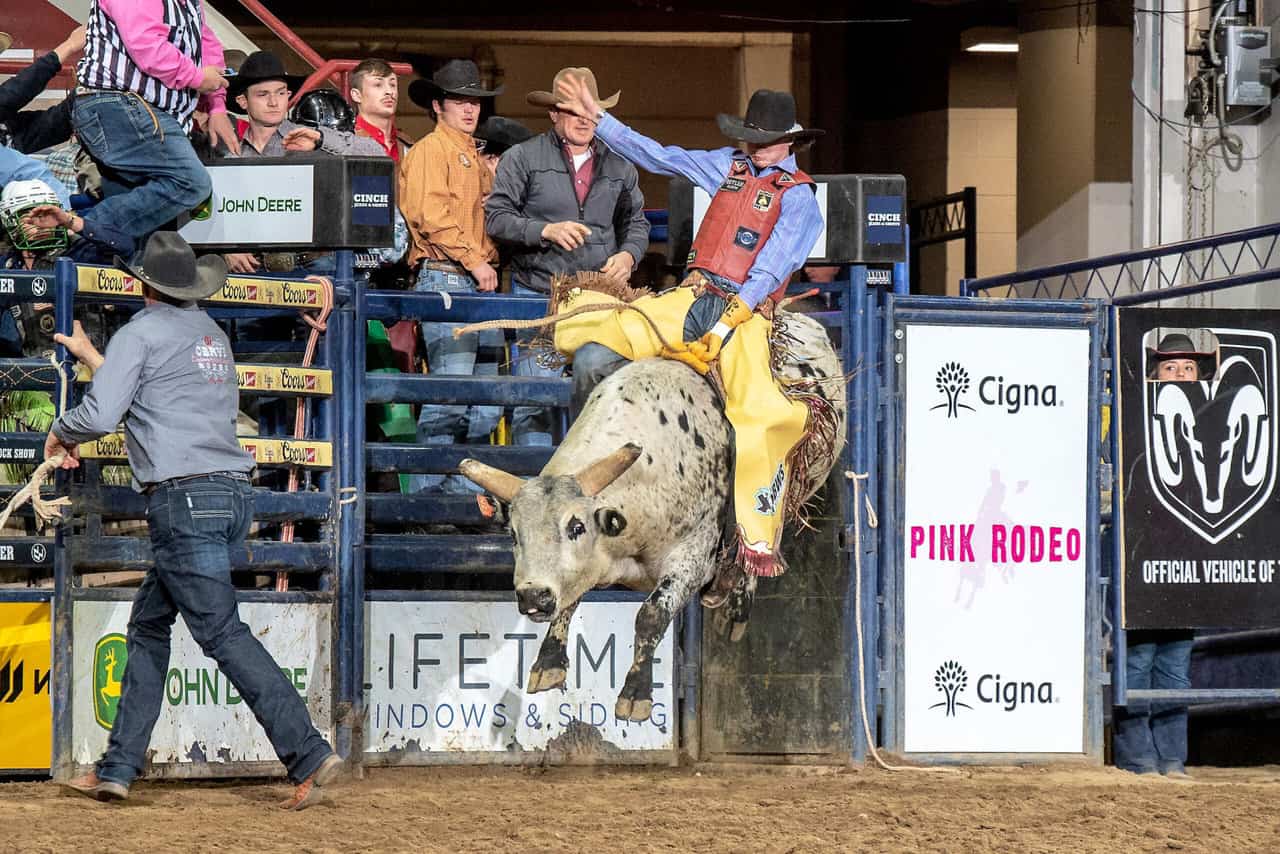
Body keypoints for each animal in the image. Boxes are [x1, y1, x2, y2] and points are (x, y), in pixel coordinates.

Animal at [460, 310, 845, 721]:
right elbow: (572, 595)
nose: (533, 596)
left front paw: (636, 695)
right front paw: (548, 663)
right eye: (514, 534)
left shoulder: (693, 556)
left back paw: (736, 604)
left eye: (576, 526)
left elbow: (650, 616)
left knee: (765, 533)